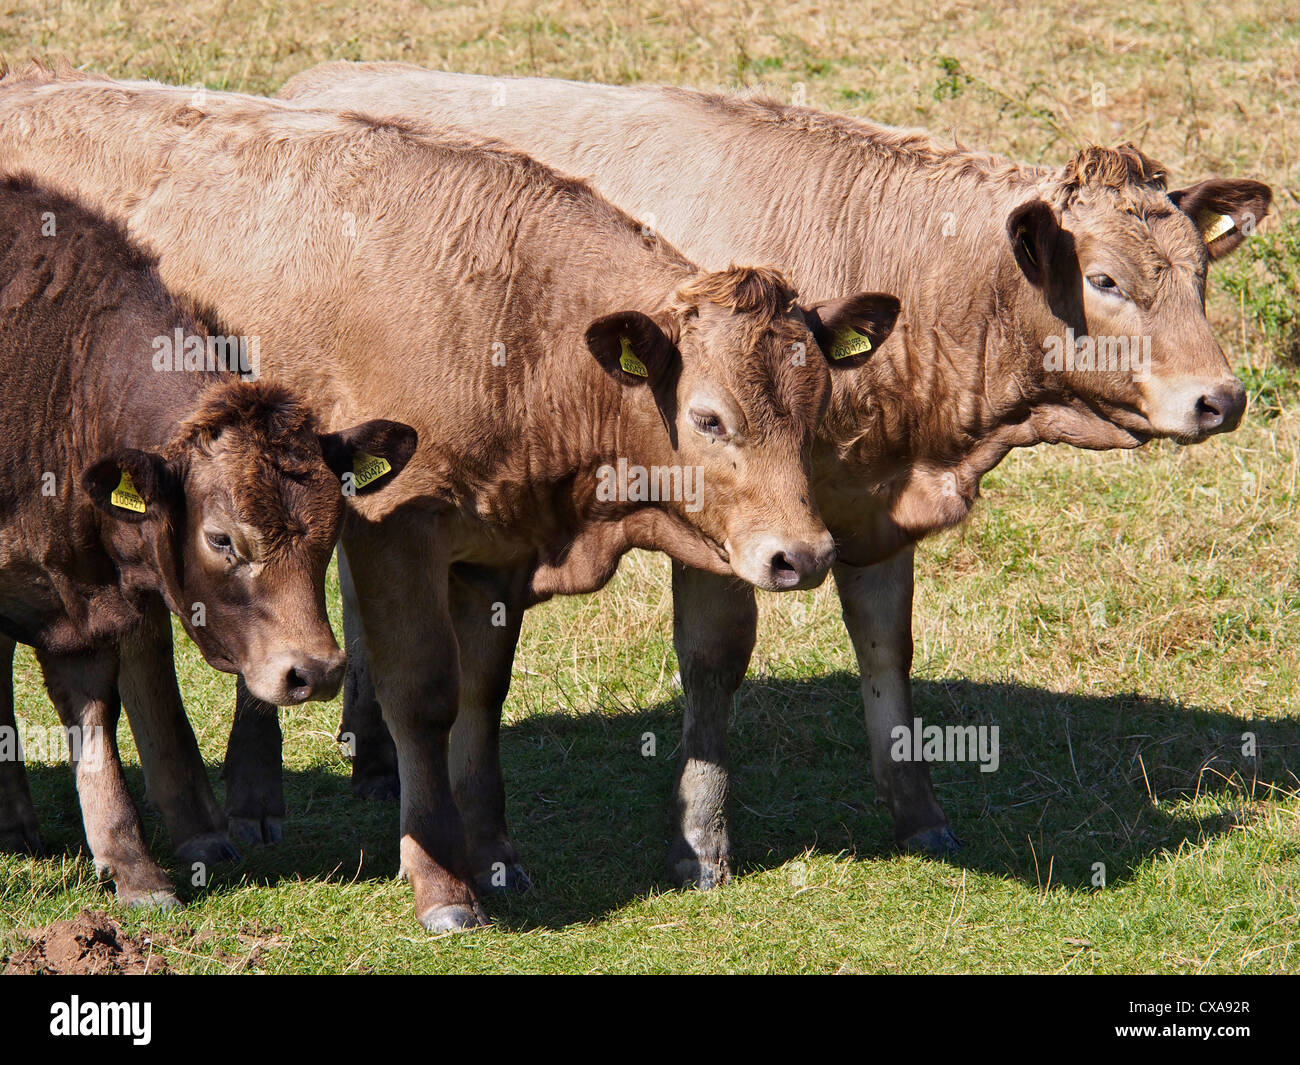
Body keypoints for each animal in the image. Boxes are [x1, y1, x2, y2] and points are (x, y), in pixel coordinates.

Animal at [0, 174, 415, 907]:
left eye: (332, 530)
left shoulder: (79, 604)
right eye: (222, 538)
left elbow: (94, 725)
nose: (315, 671)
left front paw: (133, 868)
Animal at [272, 62, 1271, 891]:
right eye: (1104, 279)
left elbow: (887, 649)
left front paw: (920, 812)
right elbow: (714, 665)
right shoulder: (729, 527)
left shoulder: (865, 505)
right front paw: (700, 844)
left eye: (1199, 272)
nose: (1219, 398)